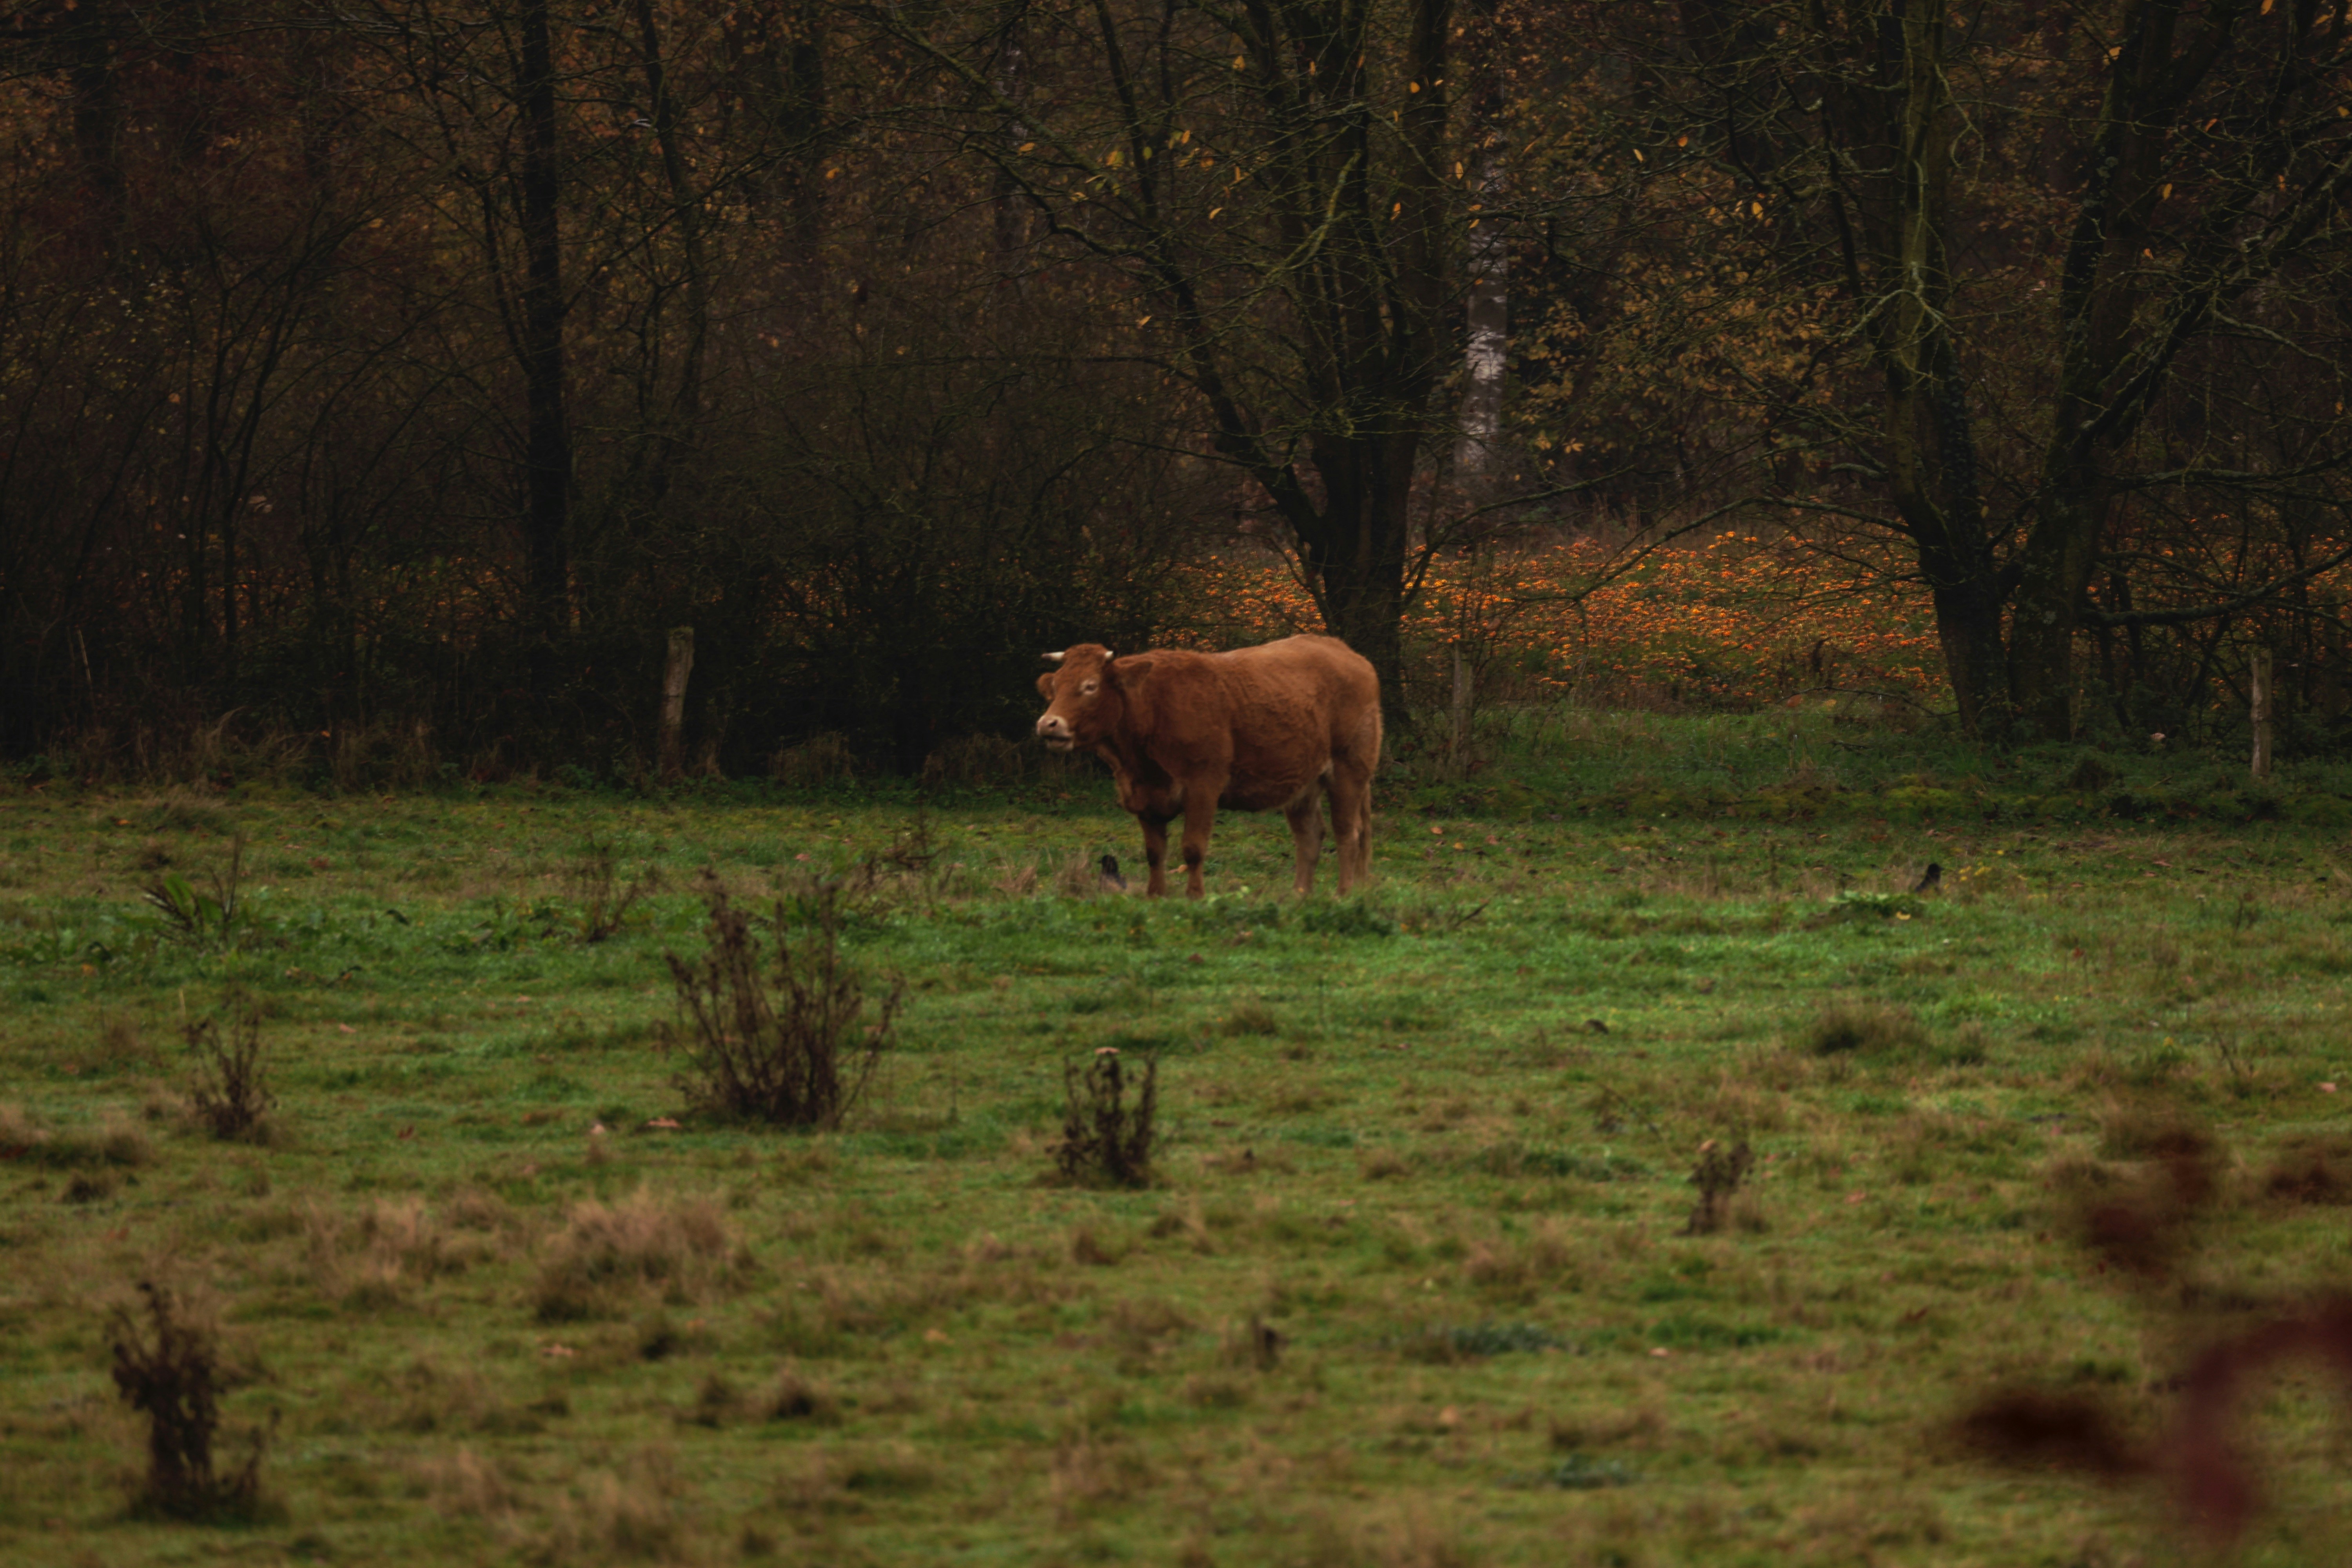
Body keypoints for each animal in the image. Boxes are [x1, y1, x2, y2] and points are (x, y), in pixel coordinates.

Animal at [1033, 634, 1381, 899]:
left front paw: (1195, 896)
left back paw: (1343, 893)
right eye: (1056, 686)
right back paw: (1299, 895)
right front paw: (1156, 896)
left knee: (1348, 832)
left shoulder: (1203, 785)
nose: (1048, 724)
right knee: (1310, 836)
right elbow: (1155, 852)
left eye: (1090, 686)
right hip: (1303, 783)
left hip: (1350, 769)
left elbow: (1193, 848)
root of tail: (1344, 651)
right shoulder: (1144, 795)